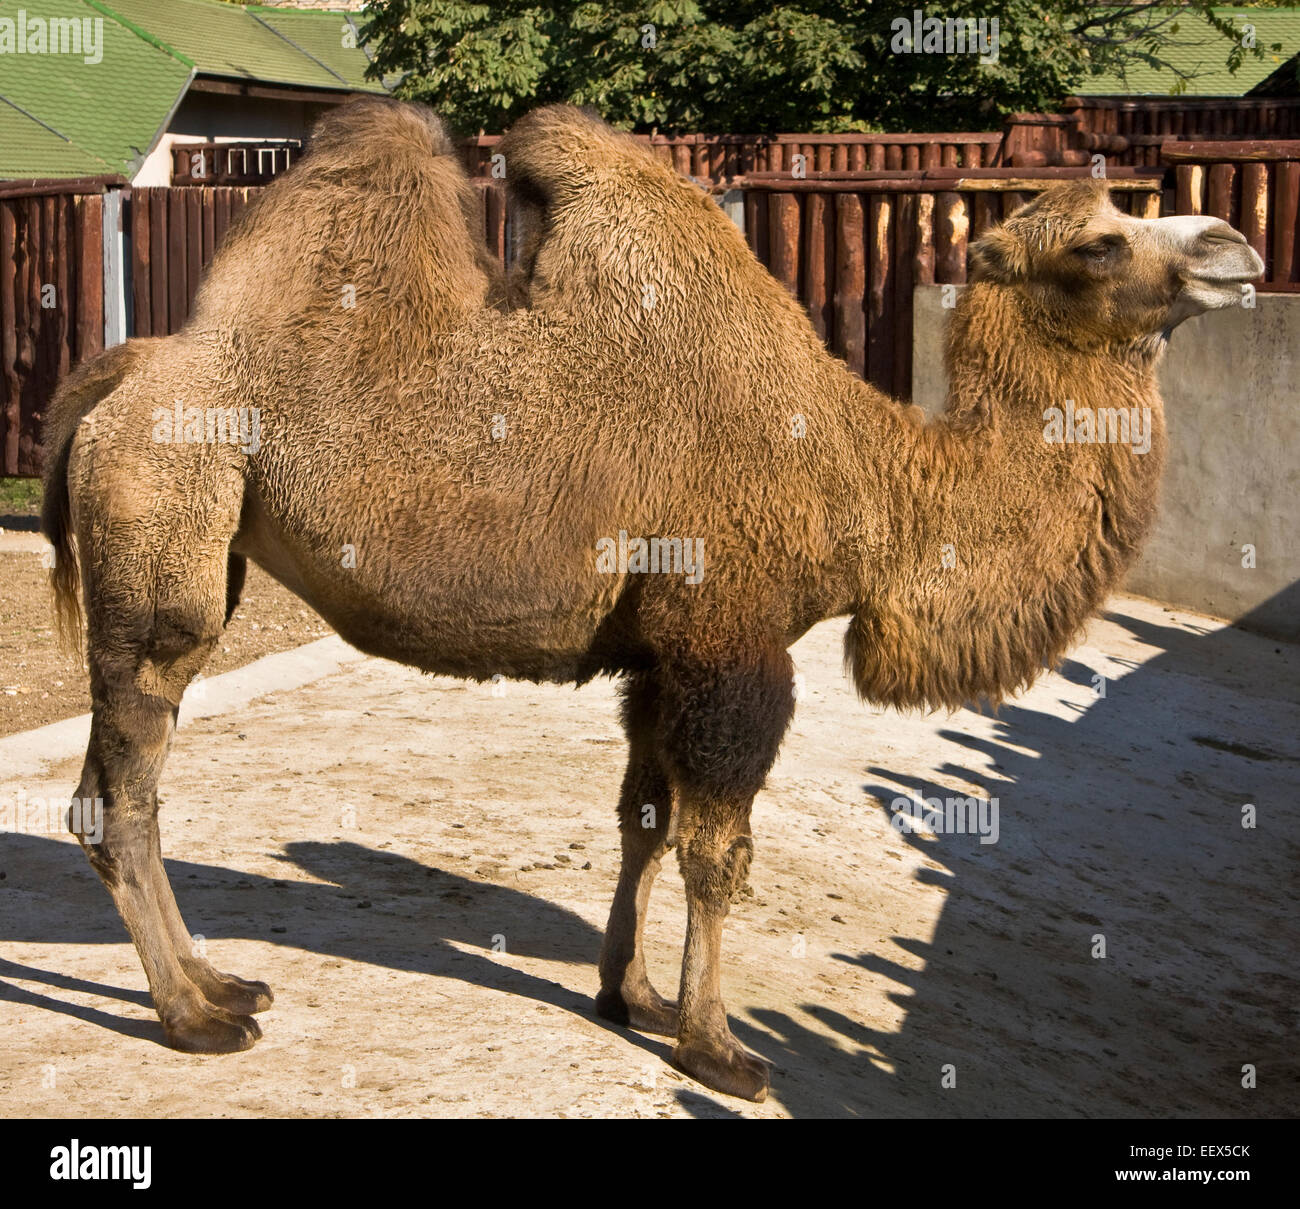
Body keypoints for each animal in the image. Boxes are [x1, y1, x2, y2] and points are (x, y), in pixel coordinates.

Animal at [40, 98, 1262, 1103]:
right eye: (1100, 242)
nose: (1236, 250)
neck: (871, 482)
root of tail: (113, 380)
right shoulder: (734, 642)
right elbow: (720, 852)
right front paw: (717, 1047)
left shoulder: (659, 653)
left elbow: (641, 819)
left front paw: (630, 996)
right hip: (163, 533)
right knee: (120, 783)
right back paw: (190, 1017)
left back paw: (223, 983)